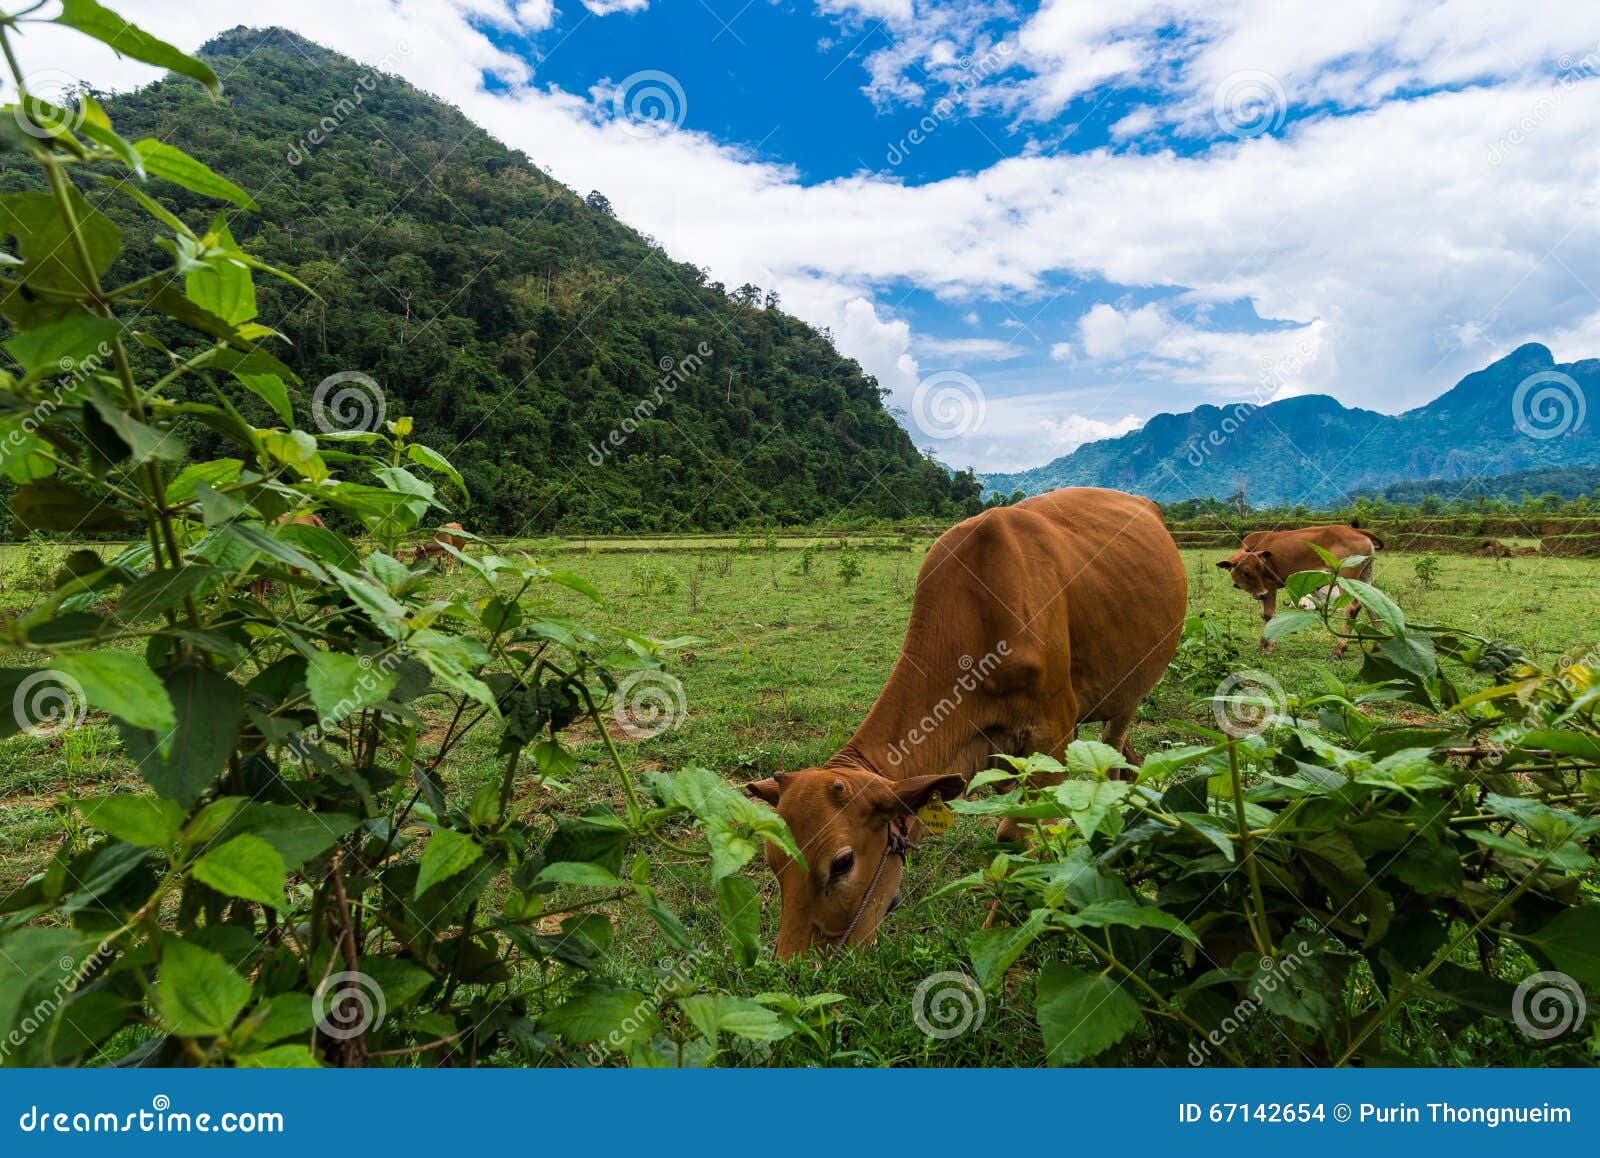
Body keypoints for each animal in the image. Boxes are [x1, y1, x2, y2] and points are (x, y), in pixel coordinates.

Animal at [744, 488, 1187, 958]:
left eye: (842, 863)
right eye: (771, 860)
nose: (793, 964)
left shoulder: (1053, 733)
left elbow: (1019, 833)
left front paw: (1009, 930)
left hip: (1127, 695)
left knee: (1116, 751)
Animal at [1215, 523, 1384, 656]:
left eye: (1260, 568)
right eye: (1246, 572)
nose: (1261, 593)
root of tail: (1354, 530)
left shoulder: (1269, 586)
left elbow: (1269, 615)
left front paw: (1268, 647)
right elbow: (1263, 615)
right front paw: (1261, 645)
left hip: (1345, 577)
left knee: (1352, 608)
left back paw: (1339, 649)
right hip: (1364, 578)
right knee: (1372, 607)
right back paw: (1377, 646)